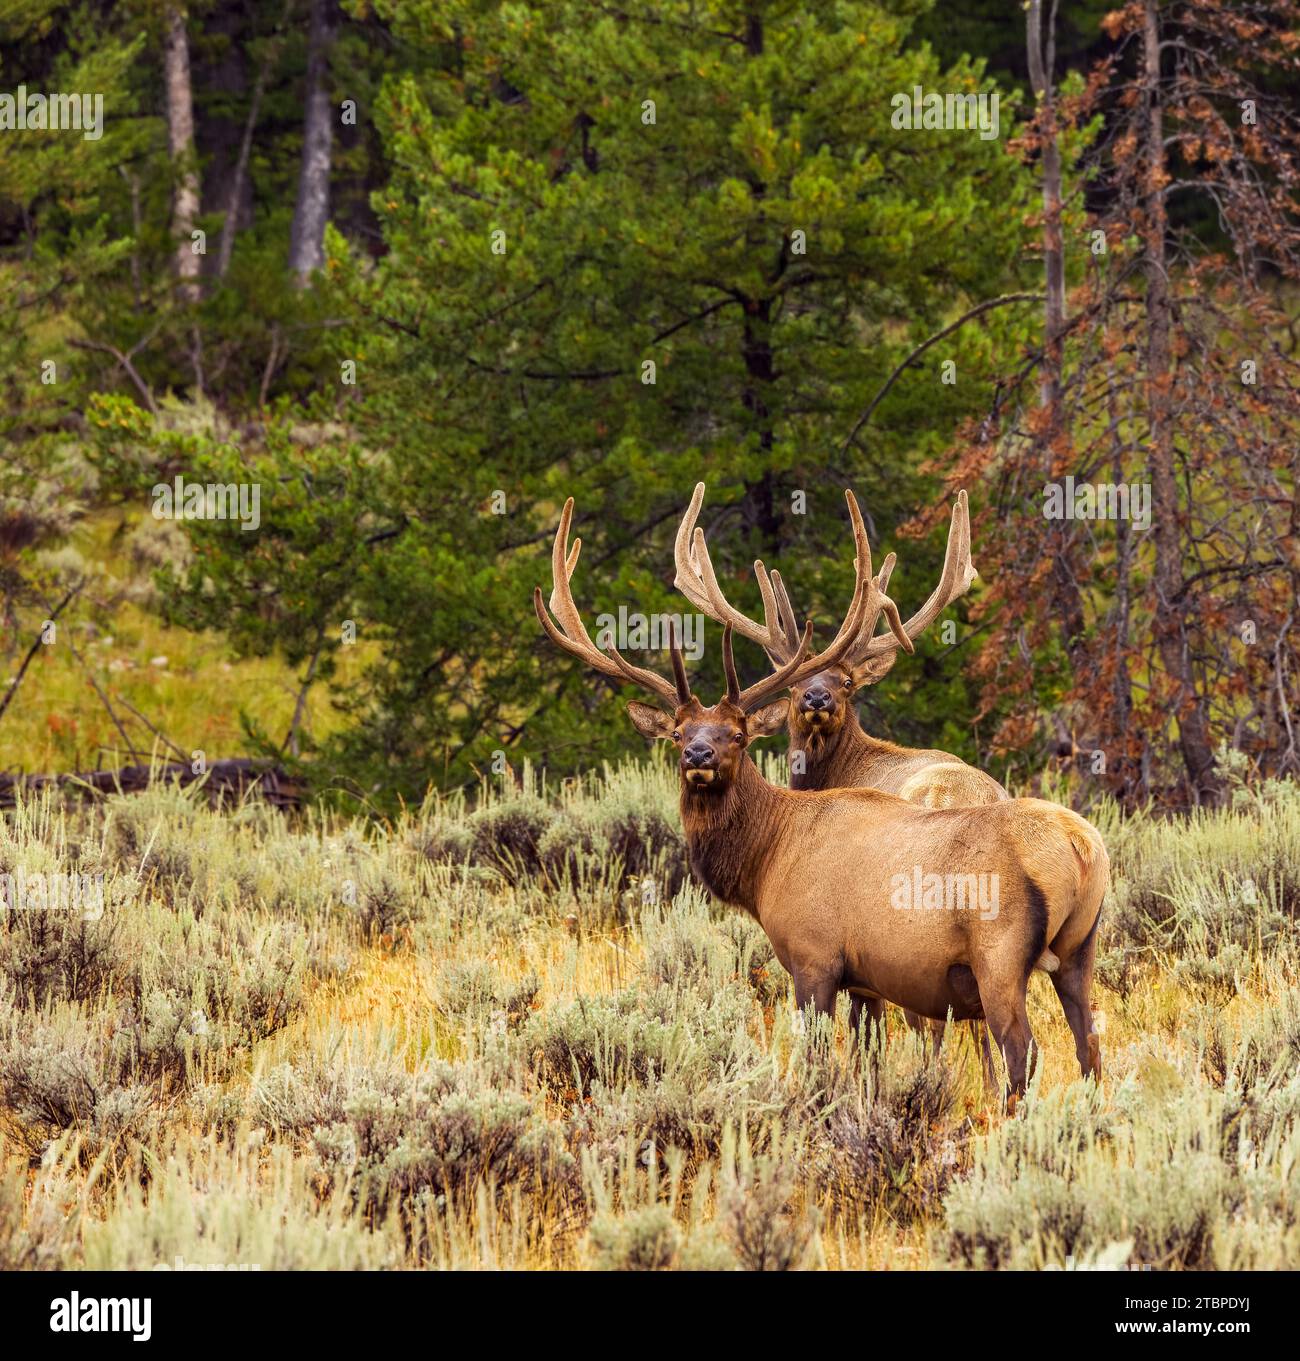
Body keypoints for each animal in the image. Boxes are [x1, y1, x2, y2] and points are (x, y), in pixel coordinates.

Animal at [533, 496, 1107, 1095]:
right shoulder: (866, 980)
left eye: (738, 734)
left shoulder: (814, 957)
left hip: (998, 953)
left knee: (1022, 1049)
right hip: (1080, 951)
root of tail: (1082, 849)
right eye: (676, 733)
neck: (766, 861)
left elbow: (816, 1060)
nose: (699, 756)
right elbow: (867, 1059)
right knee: (1088, 1044)